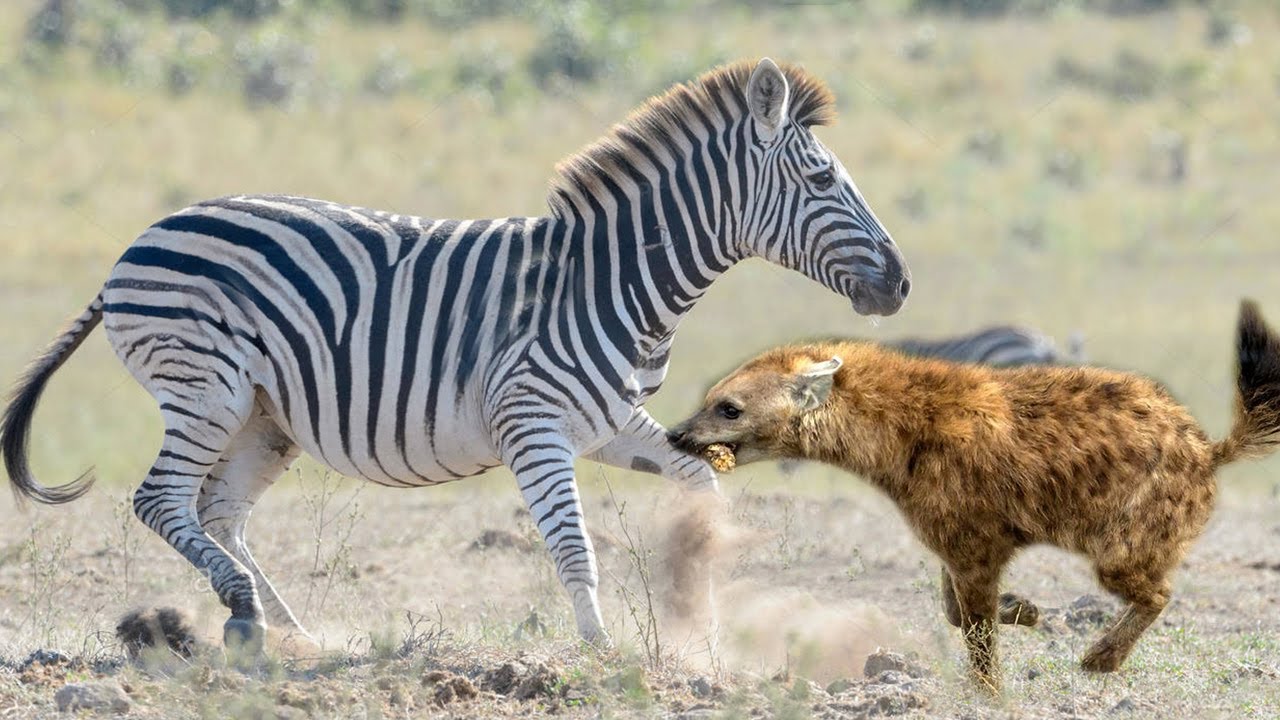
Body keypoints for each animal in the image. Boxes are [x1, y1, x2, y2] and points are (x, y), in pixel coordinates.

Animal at [0, 58, 910, 649]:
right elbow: (572, 543)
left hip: (263, 415)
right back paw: (246, 611)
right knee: (160, 500)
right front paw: (599, 650)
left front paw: (699, 624)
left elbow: (700, 487)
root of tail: (143, 238)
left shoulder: (611, 421)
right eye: (823, 181)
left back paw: (291, 633)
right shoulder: (533, 422)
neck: (607, 280)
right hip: (205, 386)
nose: (901, 282)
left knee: (218, 510)